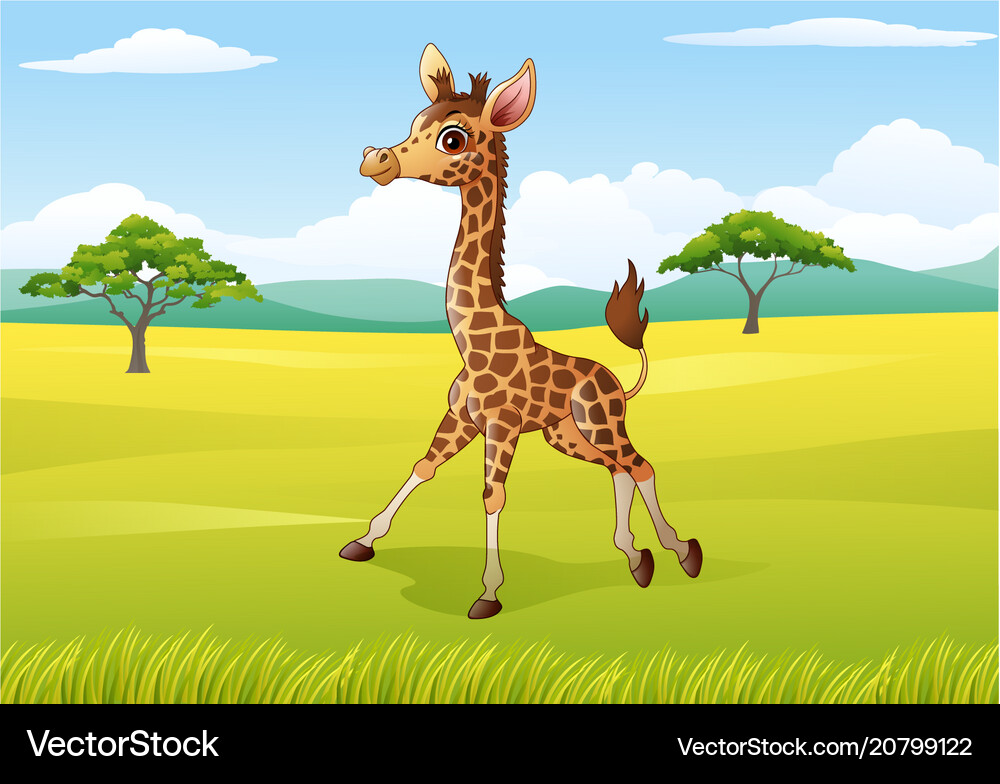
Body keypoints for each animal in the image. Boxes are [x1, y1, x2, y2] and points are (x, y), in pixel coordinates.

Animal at [340, 44, 702, 619]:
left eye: (453, 138)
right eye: (415, 122)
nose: (376, 160)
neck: (472, 343)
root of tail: (617, 384)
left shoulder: (502, 426)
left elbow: (493, 495)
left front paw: (487, 593)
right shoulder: (460, 418)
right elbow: (422, 467)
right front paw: (362, 541)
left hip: (599, 422)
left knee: (639, 465)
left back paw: (682, 552)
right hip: (566, 433)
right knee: (618, 470)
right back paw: (635, 558)